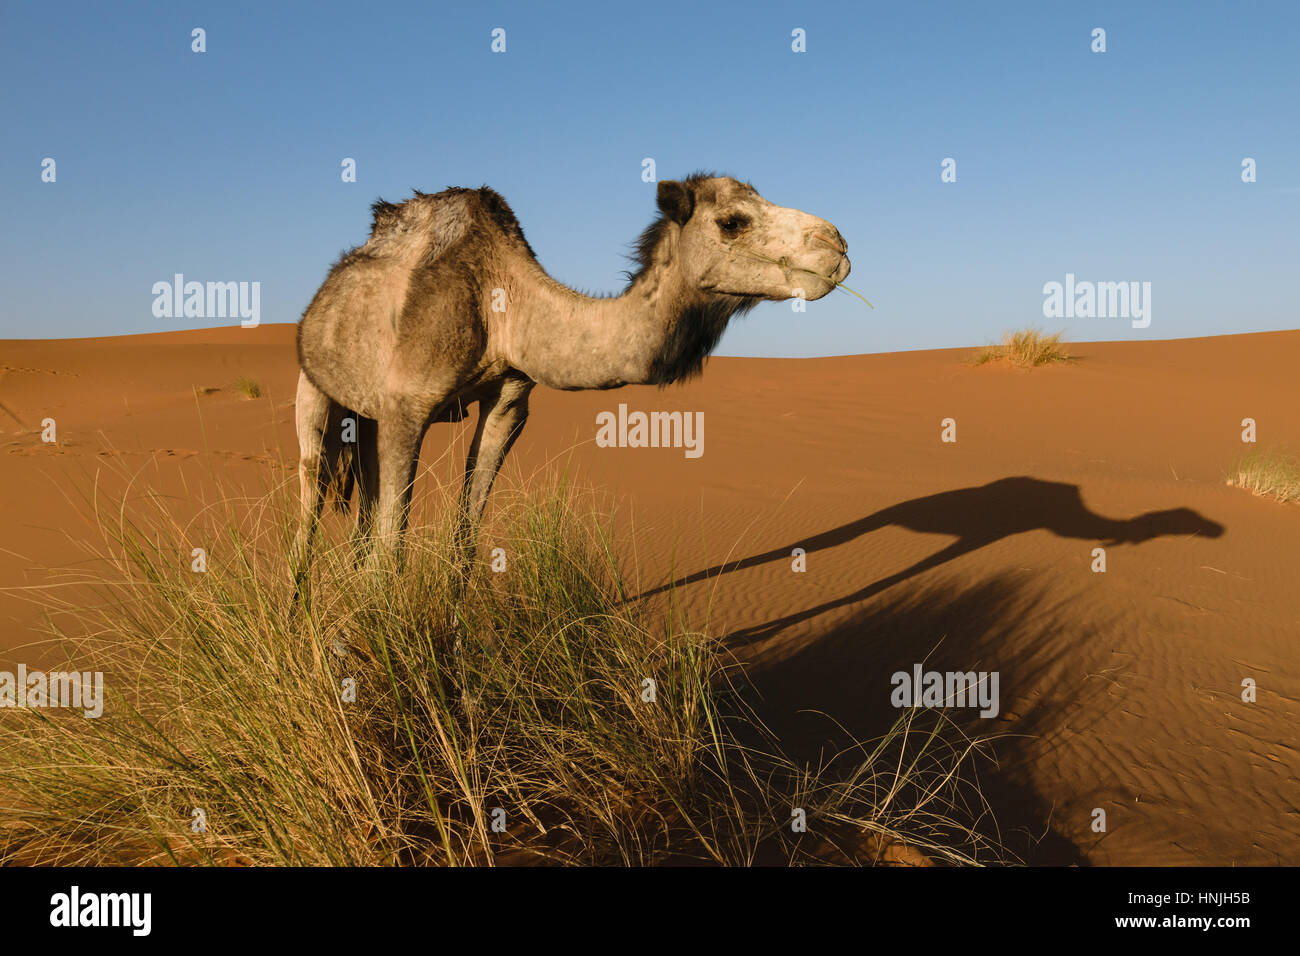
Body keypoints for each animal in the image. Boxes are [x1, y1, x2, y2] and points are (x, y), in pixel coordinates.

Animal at [292, 173, 850, 574]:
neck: (502, 301)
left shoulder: (508, 402)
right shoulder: (407, 407)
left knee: (360, 523)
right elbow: (389, 558)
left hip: (366, 416)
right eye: (732, 222)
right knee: (310, 509)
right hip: (313, 387)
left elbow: (464, 543)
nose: (837, 242)